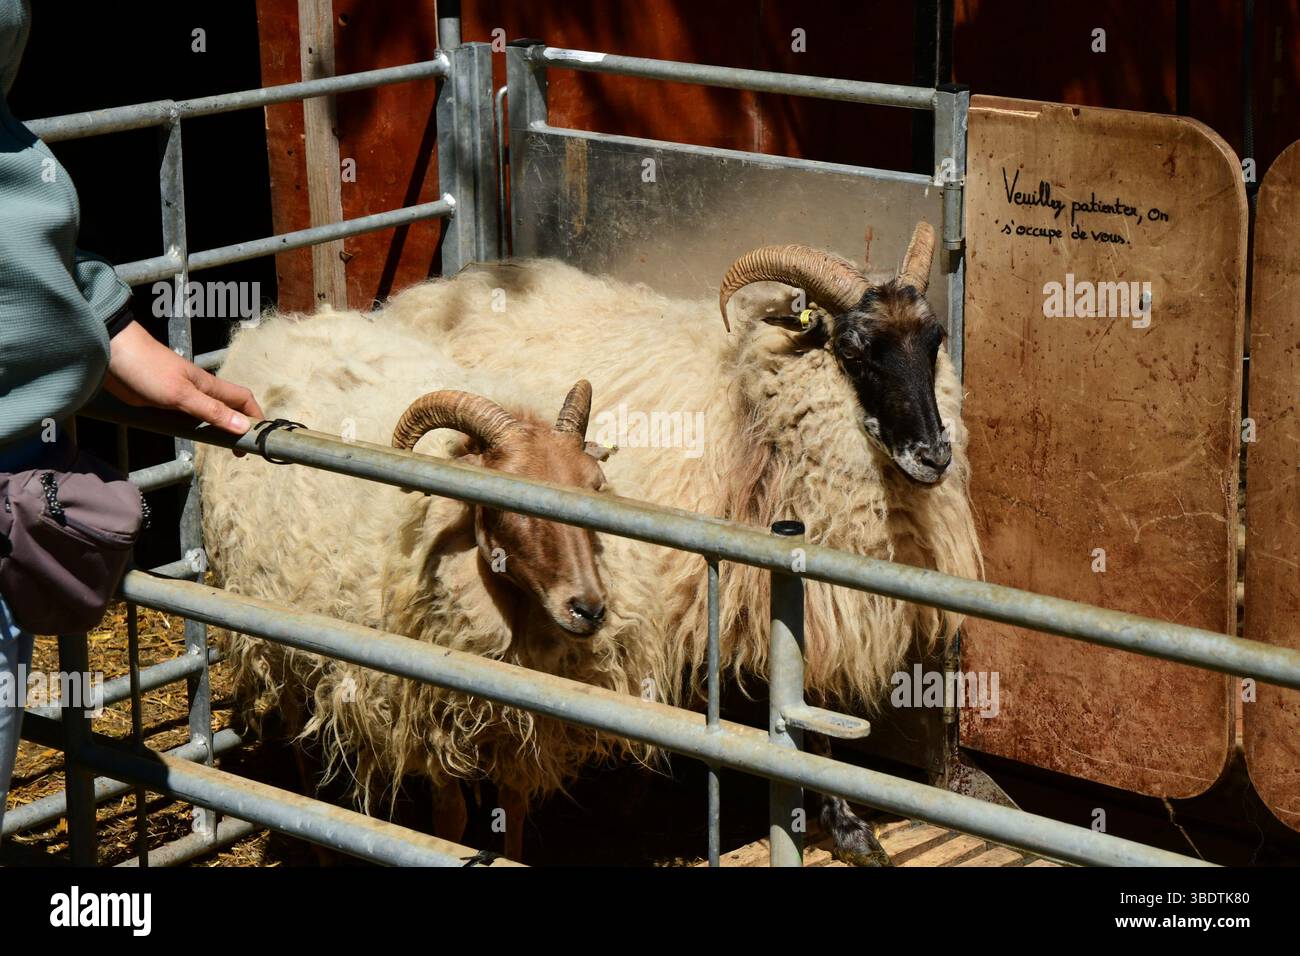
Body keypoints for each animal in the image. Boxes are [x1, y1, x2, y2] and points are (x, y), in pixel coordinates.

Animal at [196, 312, 671, 860]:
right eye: (508, 500)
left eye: (595, 488)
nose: (588, 608)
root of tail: (275, 328)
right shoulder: (426, 711)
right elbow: (450, 817)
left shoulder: (520, 727)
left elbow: (514, 807)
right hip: (274, 632)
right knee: (297, 739)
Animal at [378, 221, 983, 863]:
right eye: (851, 350)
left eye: (935, 341)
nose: (934, 457)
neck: (743, 405)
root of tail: (434, 292)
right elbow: (805, 715)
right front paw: (846, 827)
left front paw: (849, 826)